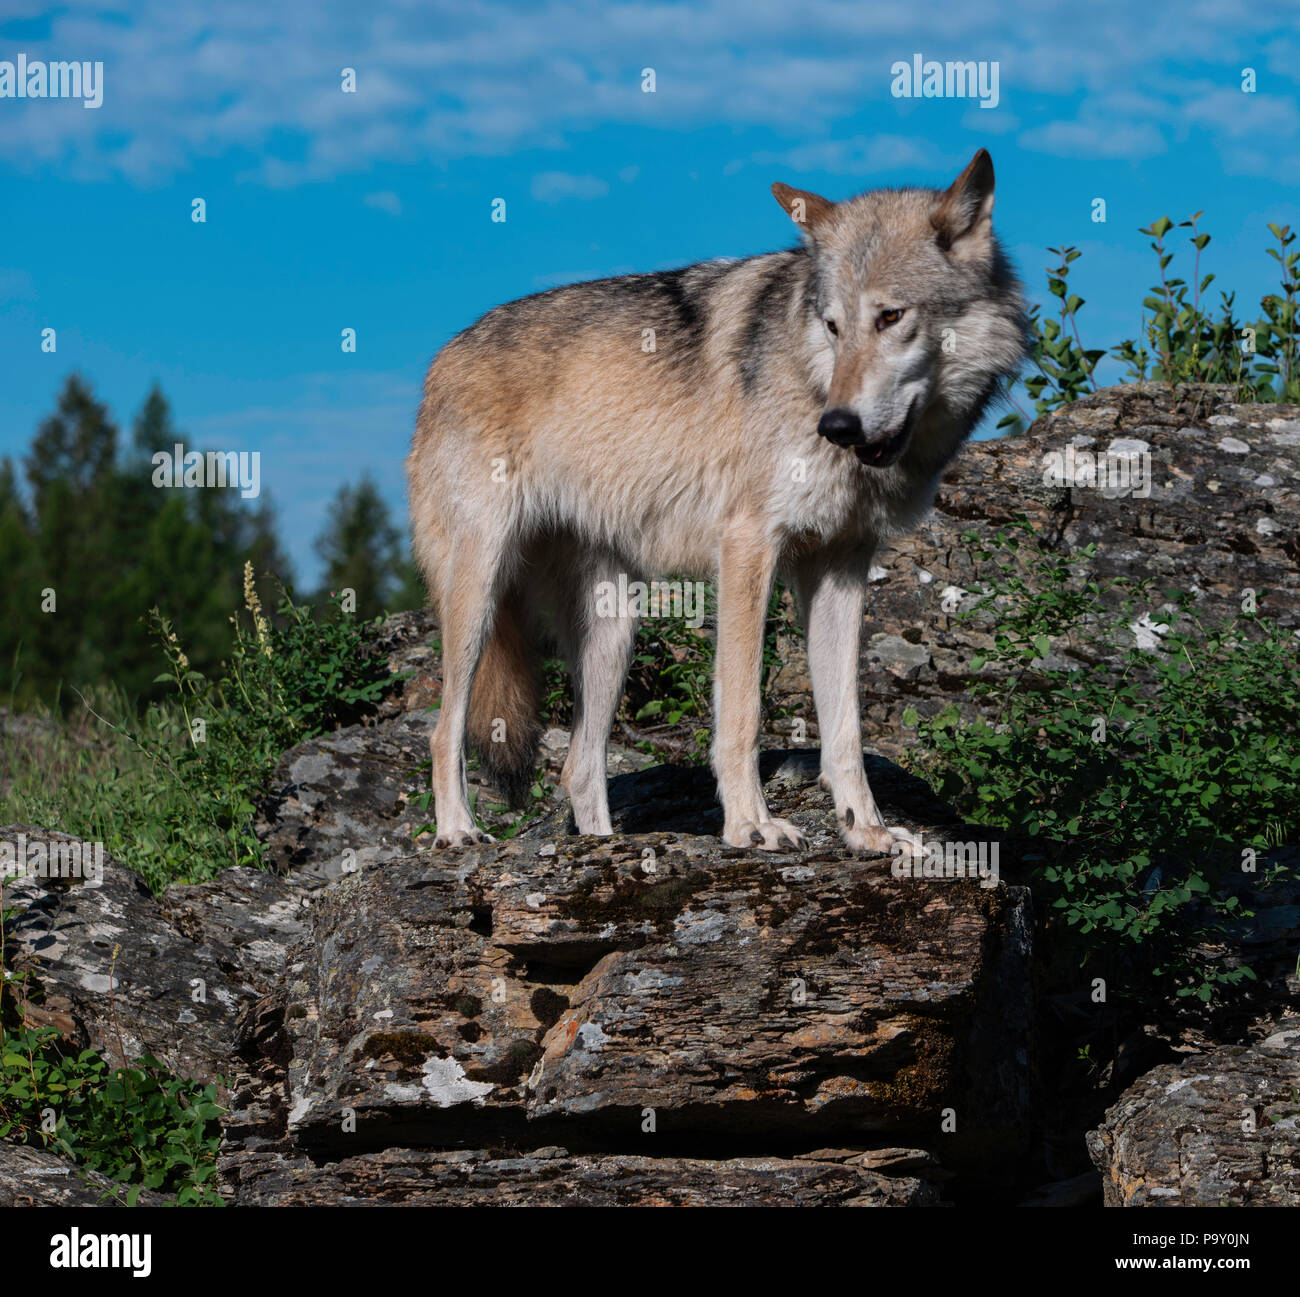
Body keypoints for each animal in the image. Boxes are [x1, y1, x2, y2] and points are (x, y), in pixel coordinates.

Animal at [407, 148, 1028, 854]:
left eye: (890, 317)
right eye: (833, 326)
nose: (836, 426)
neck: (811, 376)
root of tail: (442, 358)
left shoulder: (841, 567)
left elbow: (845, 728)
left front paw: (867, 832)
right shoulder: (748, 547)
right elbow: (742, 713)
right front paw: (750, 825)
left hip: (614, 627)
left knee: (578, 767)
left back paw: (603, 846)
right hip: (480, 594)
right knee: (444, 731)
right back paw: (458, 831)